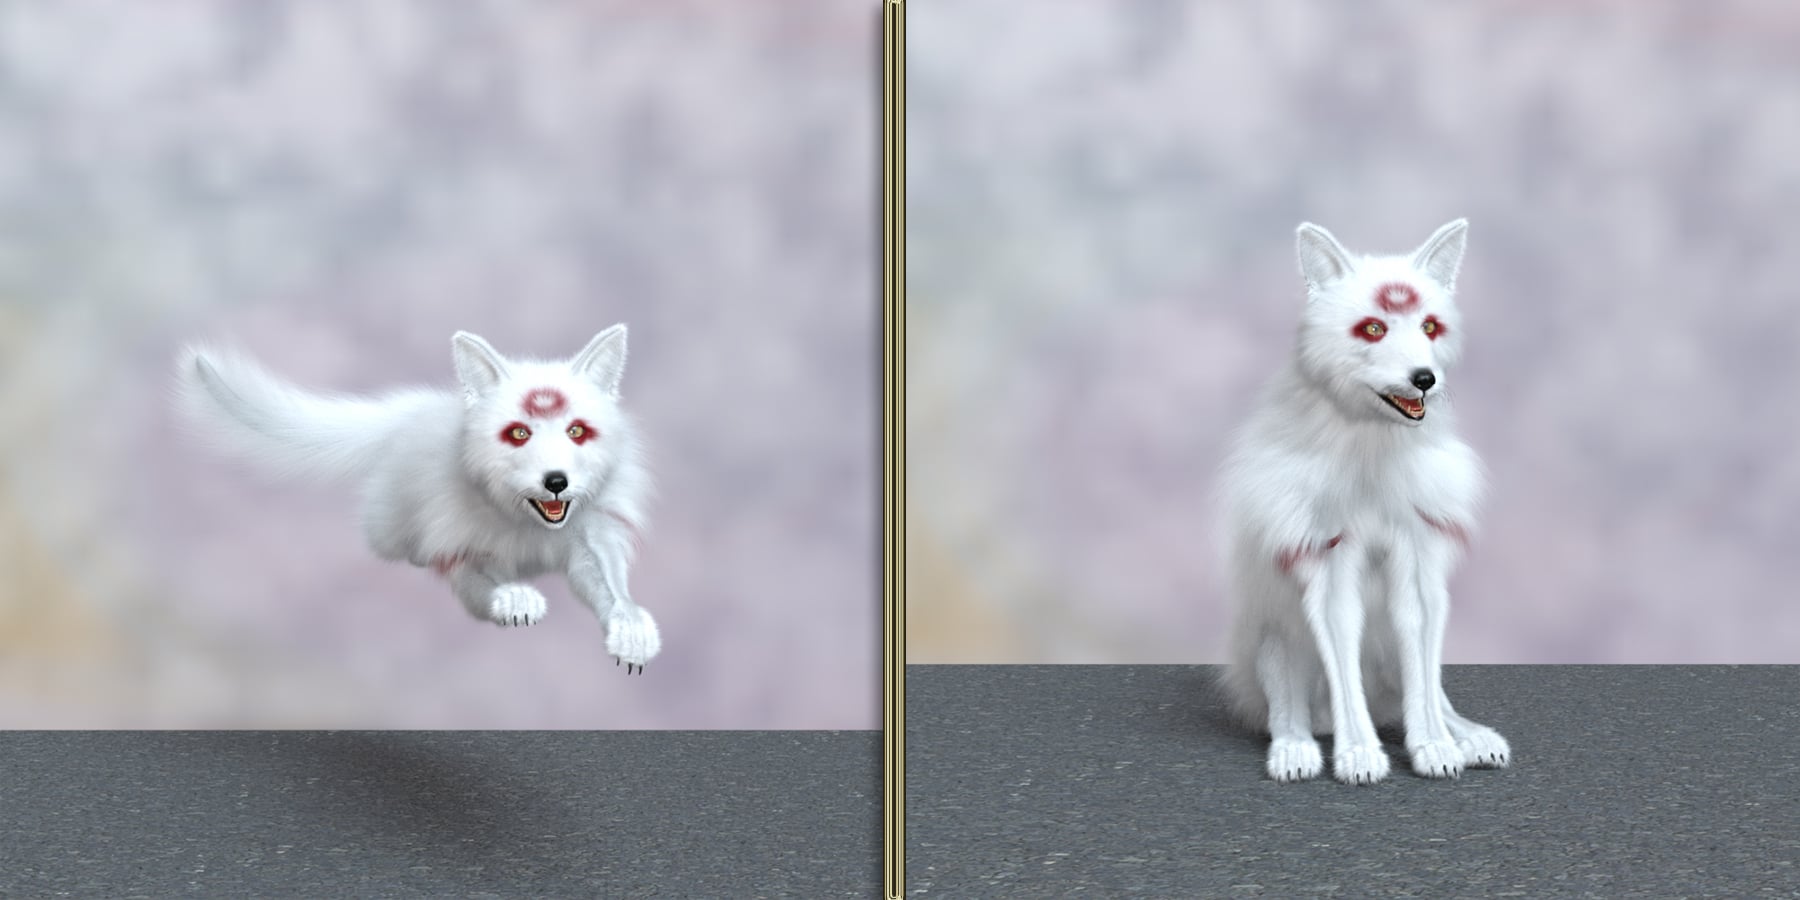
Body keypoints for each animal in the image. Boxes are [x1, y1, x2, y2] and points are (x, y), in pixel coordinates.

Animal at [173, 326, 660, 673]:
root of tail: (419, 412)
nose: (556, 481)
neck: (532, 528)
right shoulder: (462, 551)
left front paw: (633, 631)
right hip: (390, 528)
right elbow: (486, 583)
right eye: (518, 433)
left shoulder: (592, 537)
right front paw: (517, 599)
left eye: (577, 431)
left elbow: (612, 589)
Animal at [1217, 219, 1510, 783]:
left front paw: (1435, 748)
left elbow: (1422, 667)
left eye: (1430, 327)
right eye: (1373, 329)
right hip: (1274, 632)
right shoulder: (1328, 556)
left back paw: (1472, 737)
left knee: (1428, 688)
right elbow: (1340, 650)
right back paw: (1296, 748)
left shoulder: (1418, 555)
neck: (1374, 453)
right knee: (1289, 704)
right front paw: (1358, 755)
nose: (1424, 378)